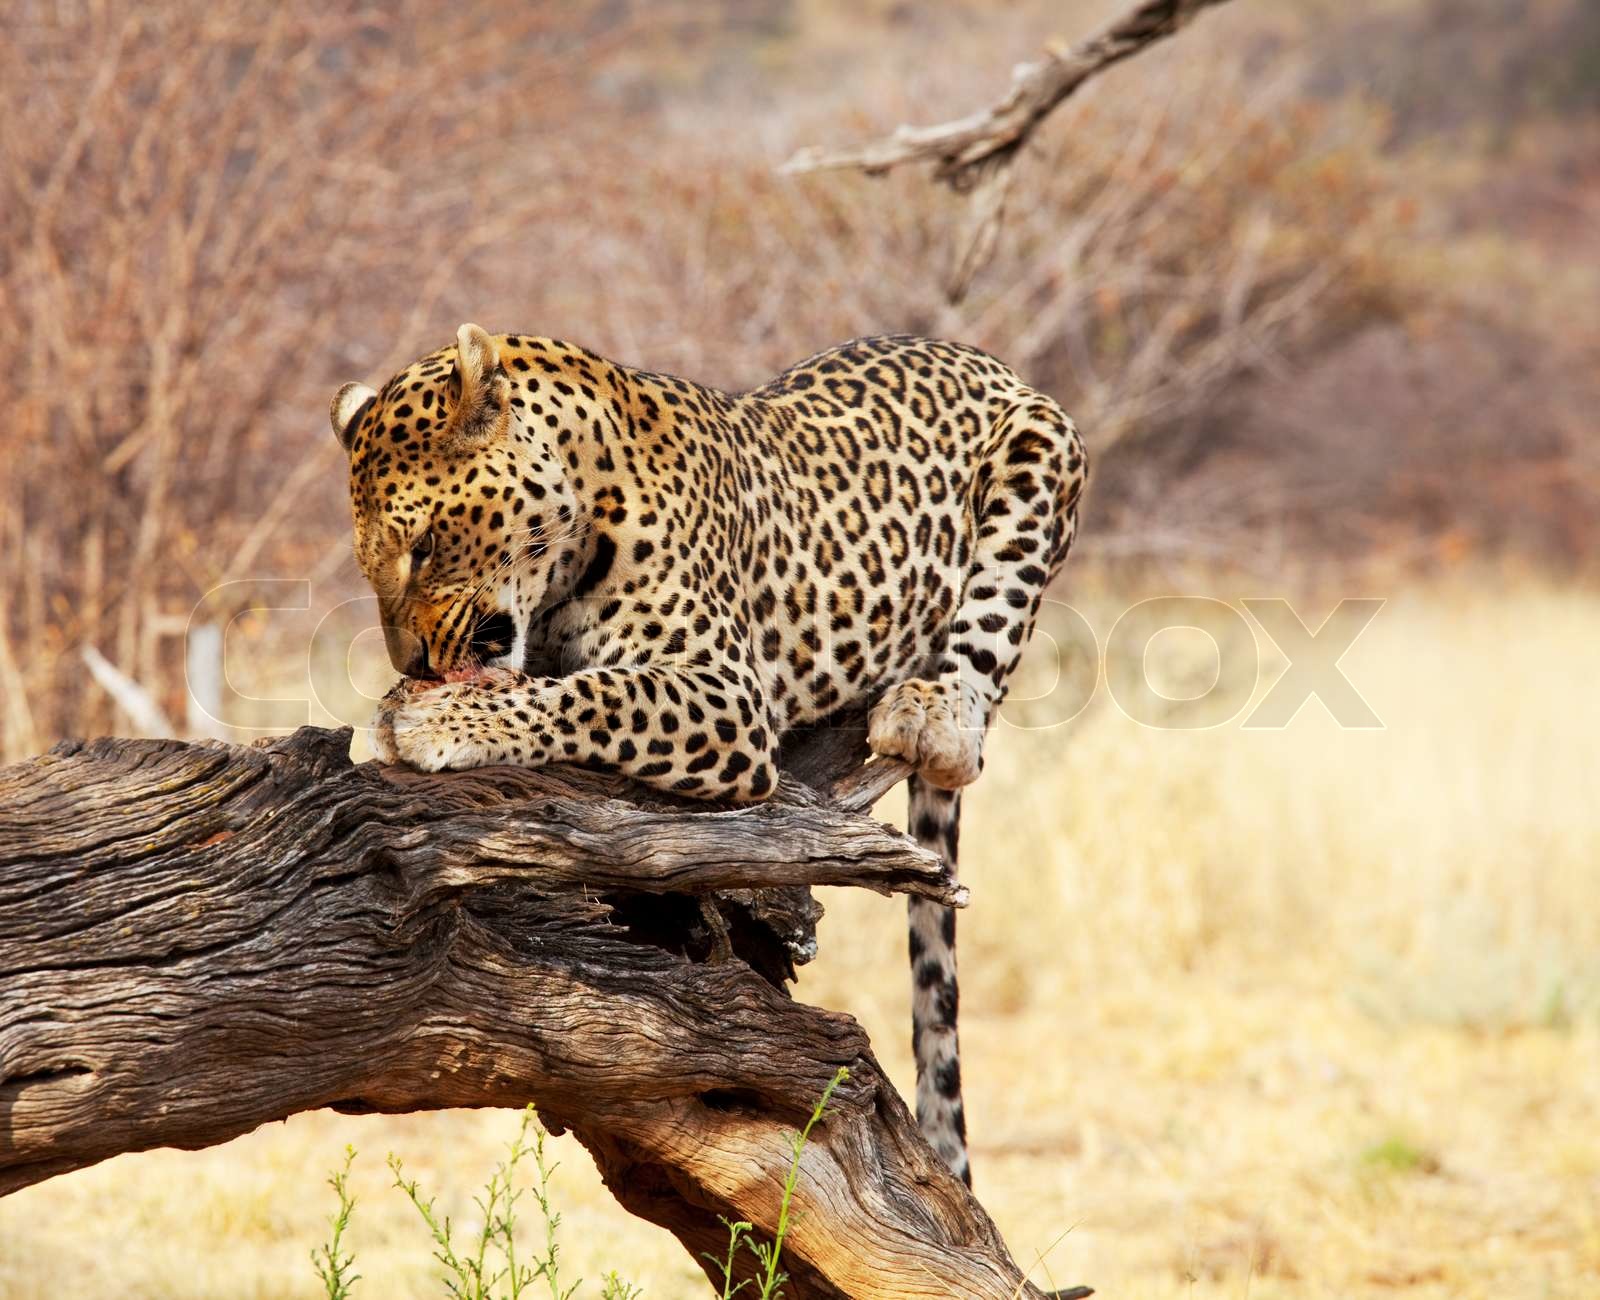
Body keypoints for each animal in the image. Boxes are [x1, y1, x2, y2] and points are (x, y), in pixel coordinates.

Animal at [330, 324, 1086, 1185]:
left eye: (424, 545)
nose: (414, 661)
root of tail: (974, 355)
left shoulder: (725, 694)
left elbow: (594, 693)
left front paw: (437, 718)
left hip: (1043, 443)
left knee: (976, 683)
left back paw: (934, 712)